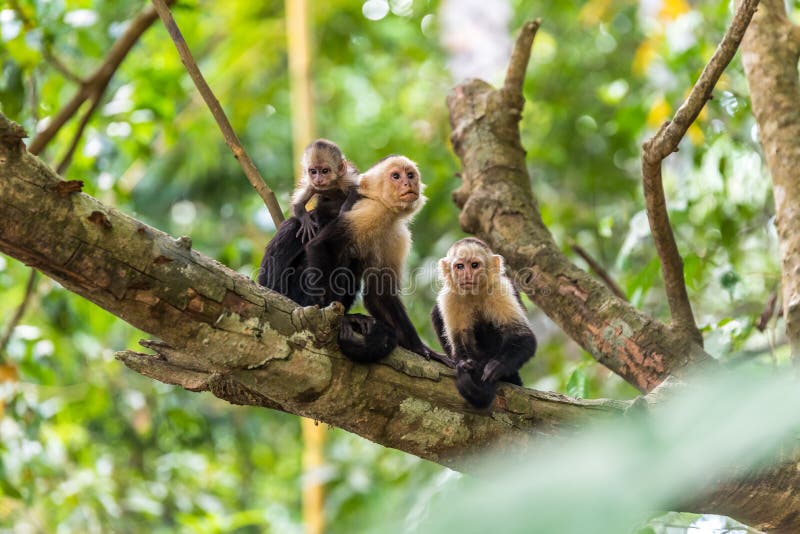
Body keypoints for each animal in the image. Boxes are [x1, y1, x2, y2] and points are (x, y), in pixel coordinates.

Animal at [303, 155, 448, 363]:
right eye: (396, 176)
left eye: (410, 175)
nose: (408, 183)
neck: (386, 212)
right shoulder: (367, 212)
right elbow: (321, 245)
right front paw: (335, 314)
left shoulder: (398, 238)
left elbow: (380, 294)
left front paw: (421, 348)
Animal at [431, 238, 537, 409]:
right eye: (460, 266)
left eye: (474, 265)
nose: (467, 275)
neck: (474, 294)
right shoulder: (449, 298)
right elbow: (459, 339)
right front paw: (464, 364)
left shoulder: (499, 289)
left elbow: (523, 336)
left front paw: (498, 365)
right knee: (436, 313)